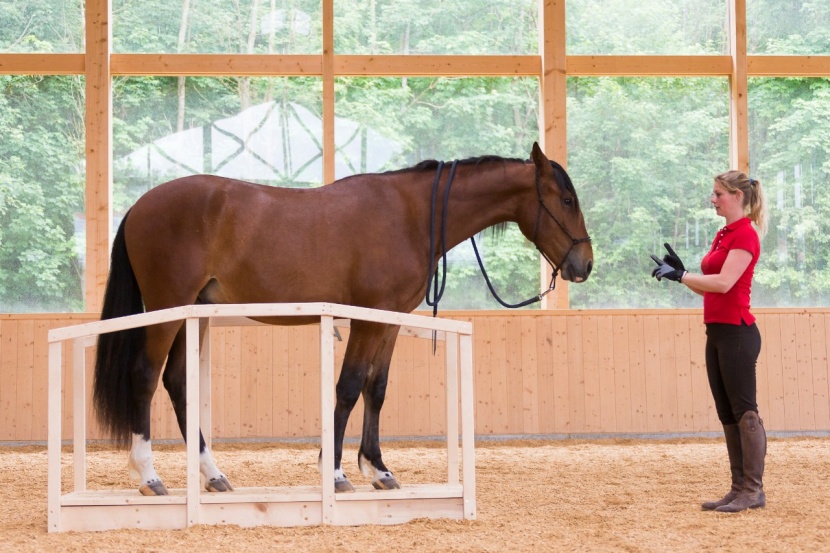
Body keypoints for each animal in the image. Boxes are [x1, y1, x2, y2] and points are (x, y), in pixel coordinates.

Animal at [92, 142, 593, 496]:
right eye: (566, 199)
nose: (583, 264)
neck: (411, 216)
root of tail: (139, 207)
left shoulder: (388, 319)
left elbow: (376, 389)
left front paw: (378, 468)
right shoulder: (367, 320)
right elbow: (349, 386)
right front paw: (333, 473)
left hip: (191, 314)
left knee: (178, 382)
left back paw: (212, 475)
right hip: (166, 310)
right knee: (145, 376)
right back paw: (150, 476)